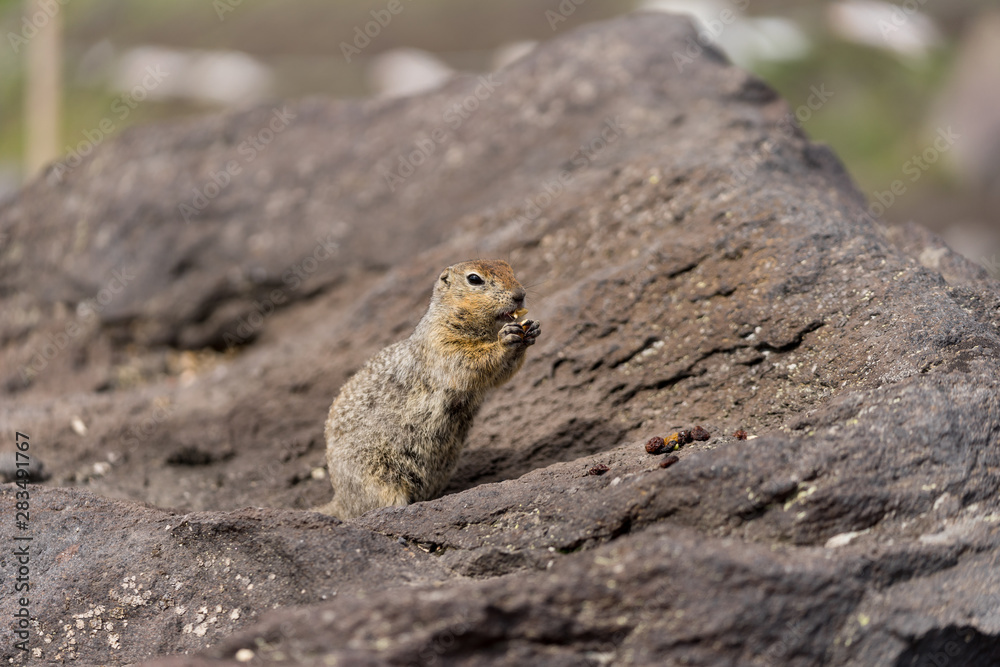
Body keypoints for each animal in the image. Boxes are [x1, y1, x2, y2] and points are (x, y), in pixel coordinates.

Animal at [320, 259, 540, 519]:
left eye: (510, 269)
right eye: (474, 279)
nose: (520, 295)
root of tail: (340, 501)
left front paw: (531, 329)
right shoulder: (440, 340)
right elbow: (466, 361)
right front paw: (505, 339)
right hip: (377, 477)